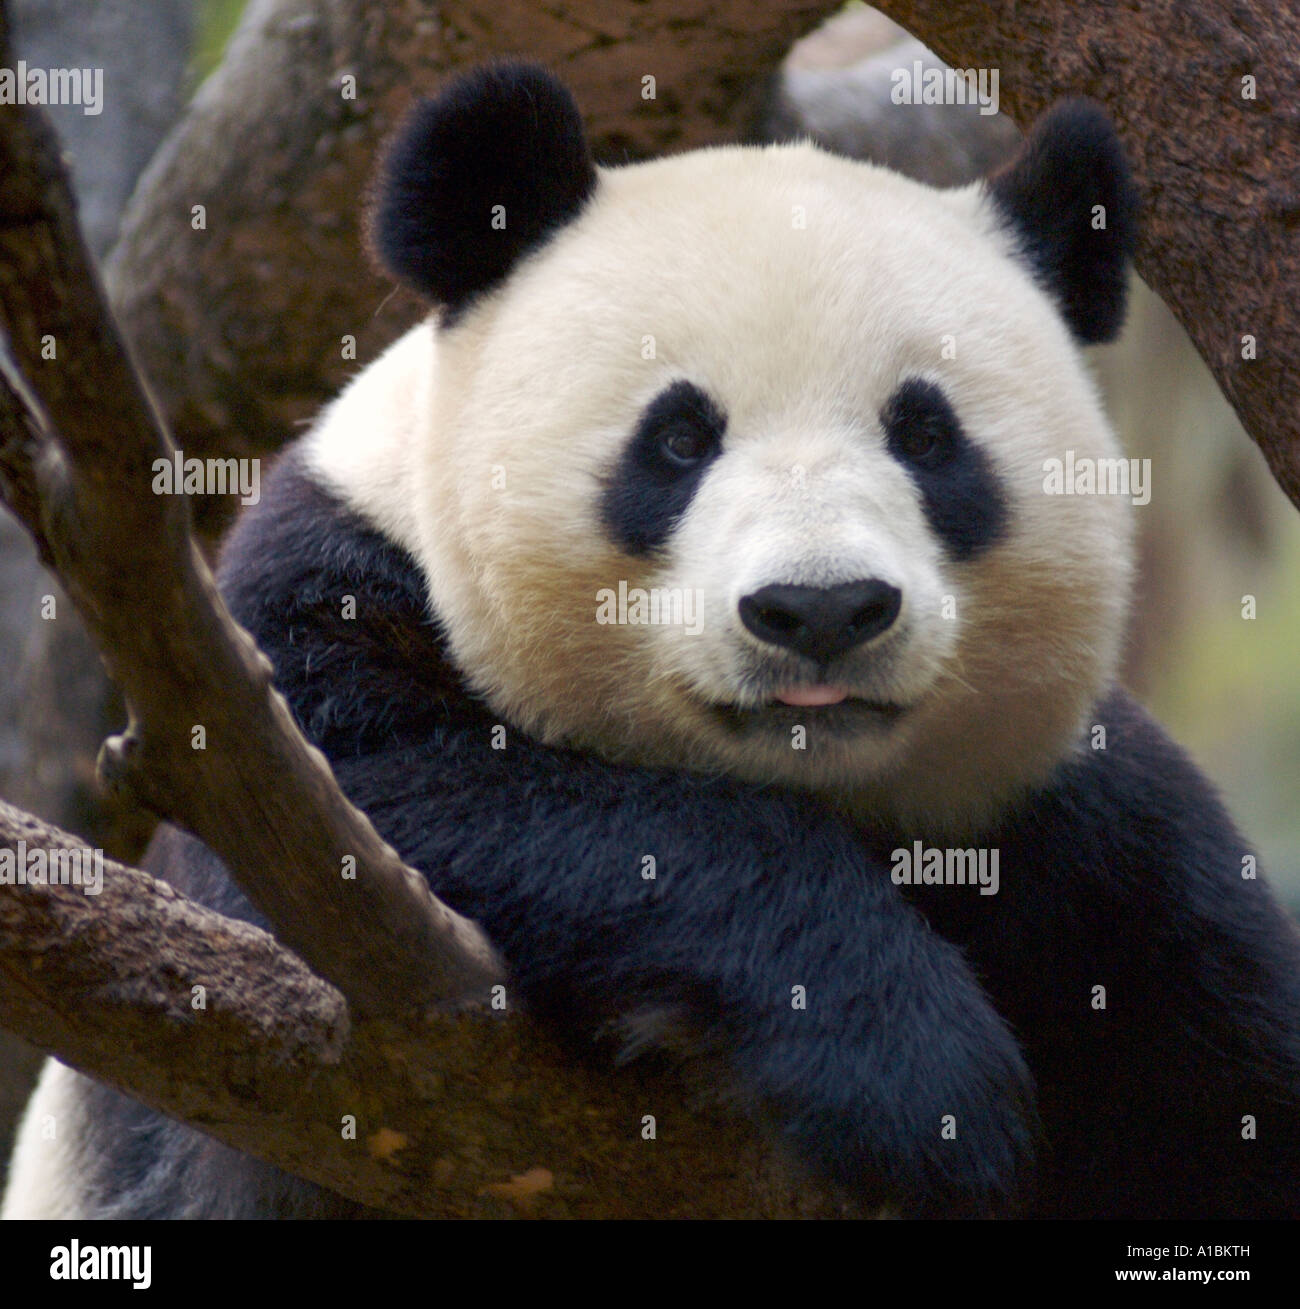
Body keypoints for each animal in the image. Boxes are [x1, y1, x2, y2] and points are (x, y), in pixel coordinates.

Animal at [6, 61, 1300, 1221]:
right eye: (678, 439)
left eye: (928, 436)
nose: (820, 610)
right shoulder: (298, 631)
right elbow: (396, 806)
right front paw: (912, 1077)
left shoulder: (1068, 829)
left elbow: (1213, 1013)